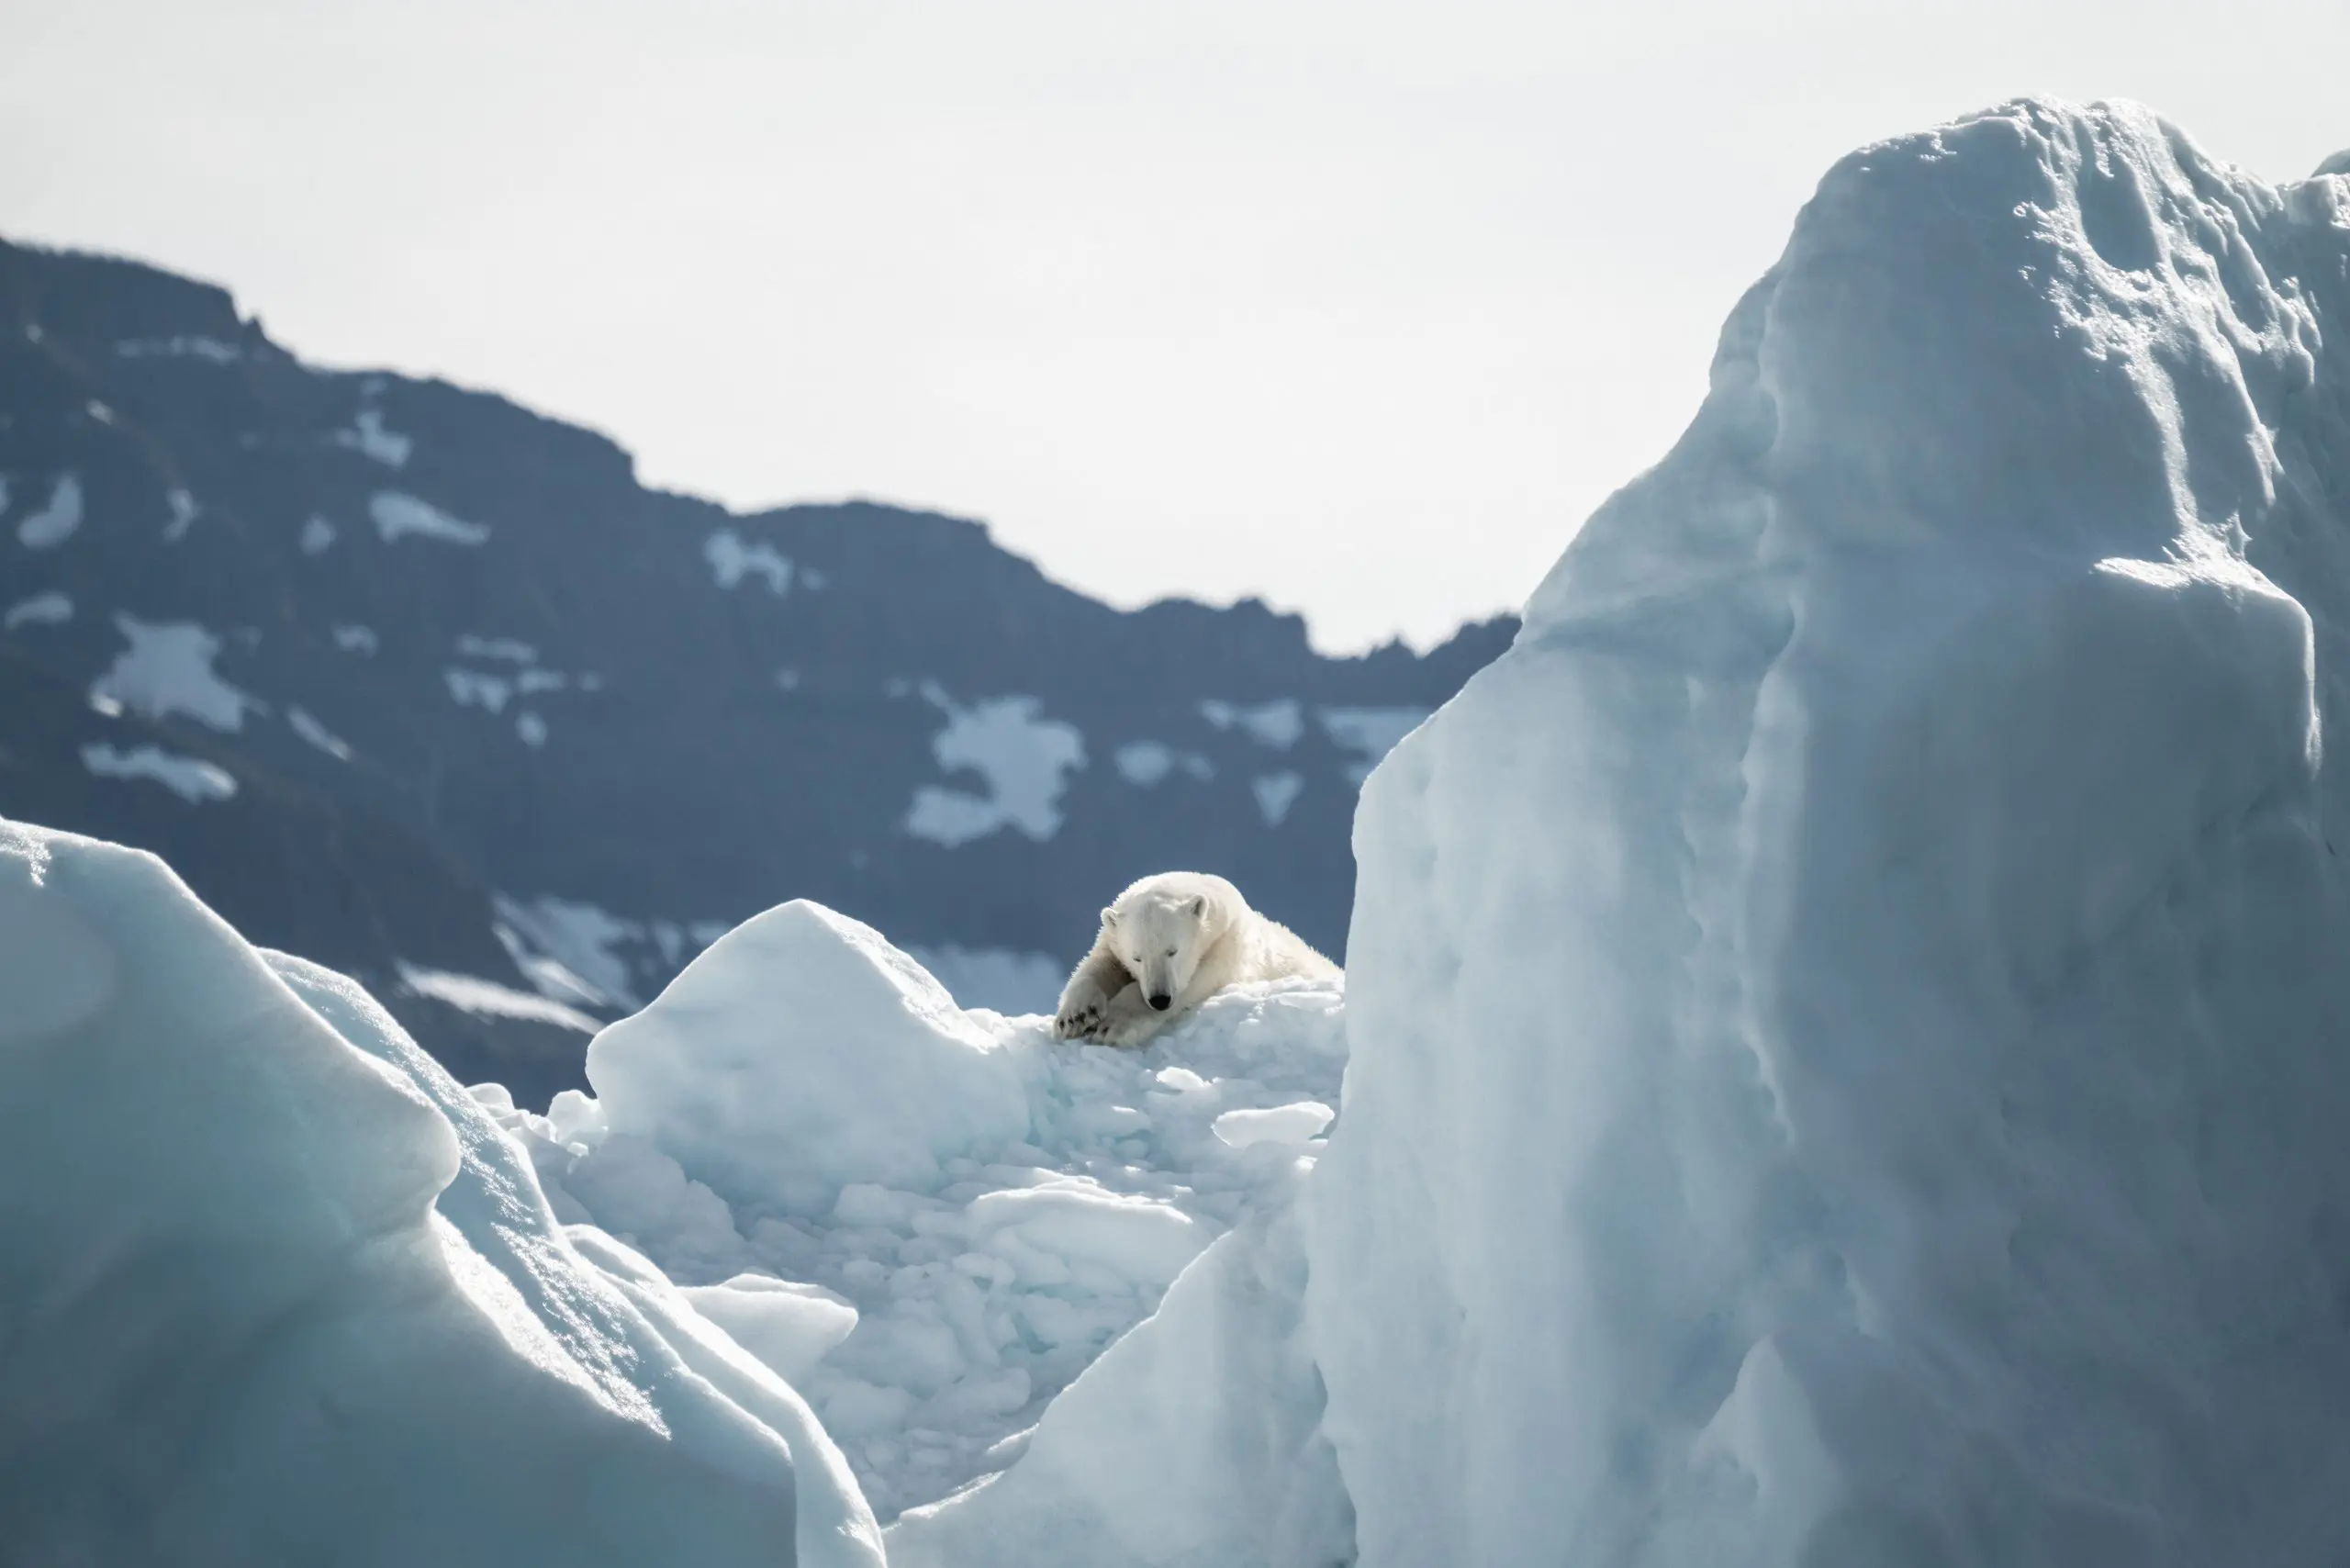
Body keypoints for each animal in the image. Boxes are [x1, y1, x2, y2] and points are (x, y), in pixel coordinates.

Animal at [1052, 871, 1340, 1048]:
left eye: (1173, 951)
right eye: (1137, 957)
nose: (1159, 999)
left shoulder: (1227, 948)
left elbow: (1195, 982)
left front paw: (1114, 1026)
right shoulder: (1111, 940)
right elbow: (1098, 965)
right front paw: (1076, 1017)